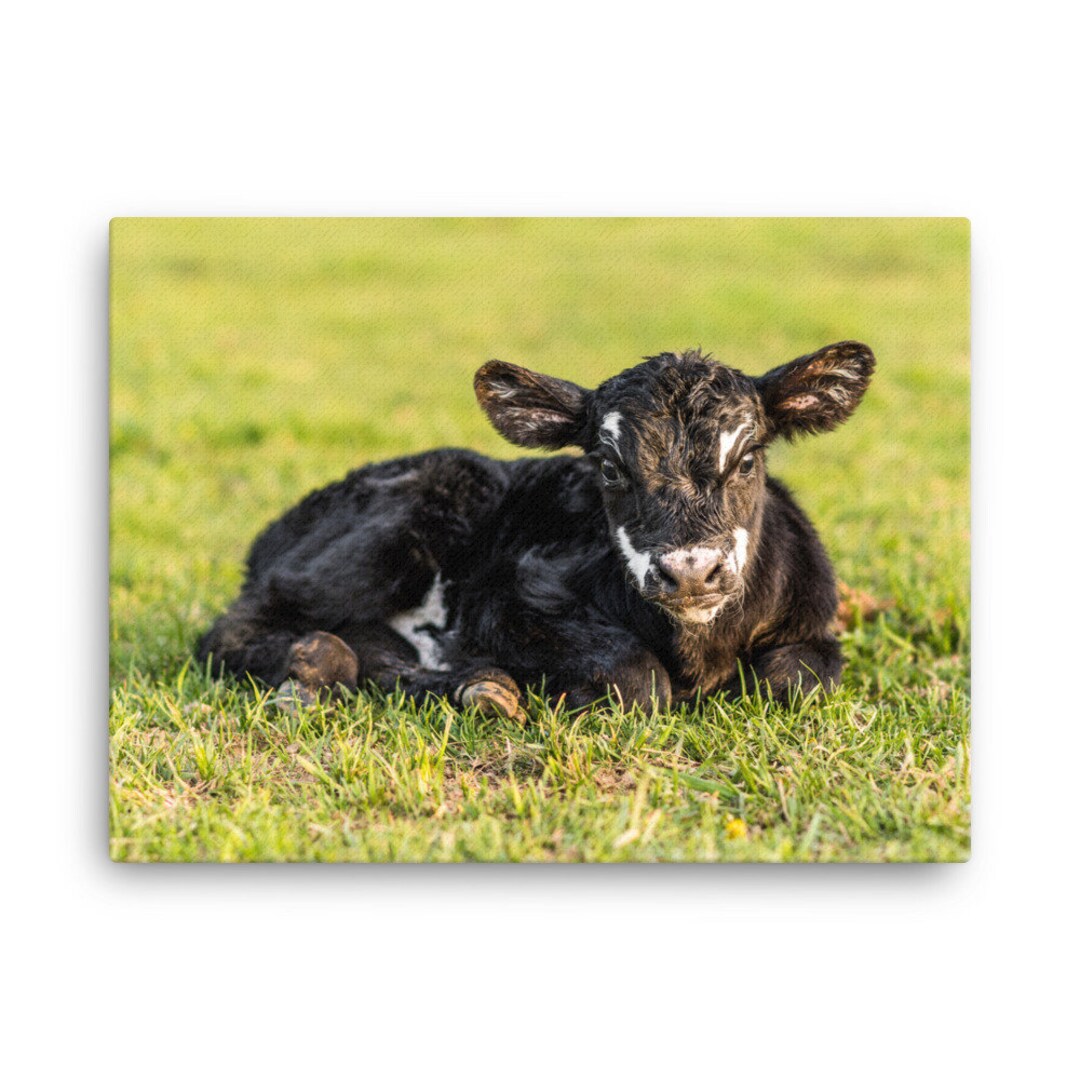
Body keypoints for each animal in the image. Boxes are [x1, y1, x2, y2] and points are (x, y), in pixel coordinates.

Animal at [196, 340, 875, 720]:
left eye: (749, 457)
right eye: (608, 467)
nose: (689, 572)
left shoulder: (815, 620)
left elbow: (797, 682)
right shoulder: (508, 601)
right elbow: (638, 678)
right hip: (391, 536)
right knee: (229, 632)